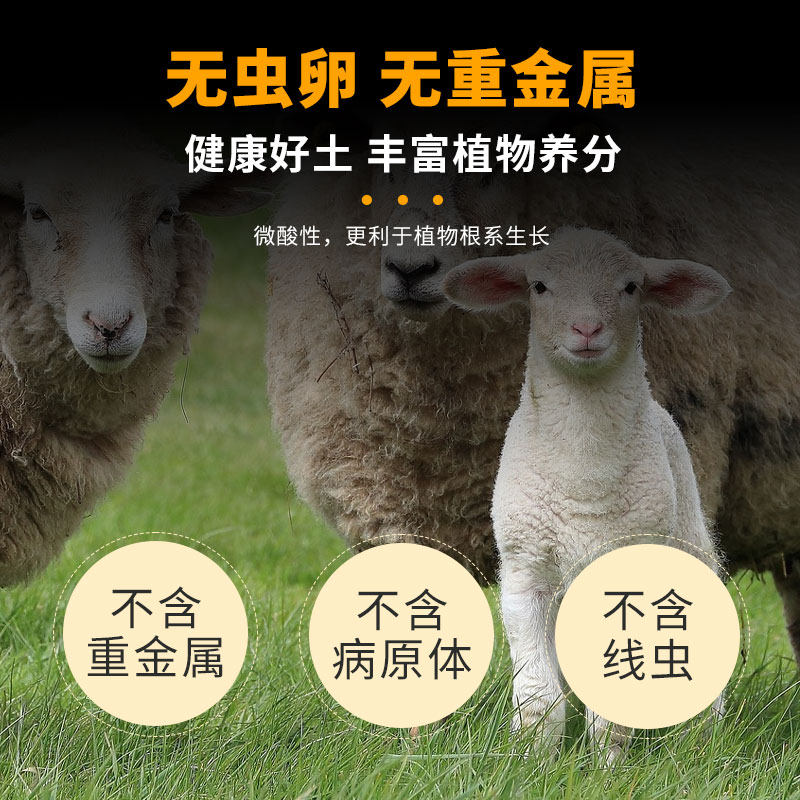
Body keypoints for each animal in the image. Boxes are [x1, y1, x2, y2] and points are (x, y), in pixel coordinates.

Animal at [442, 226, 731, 758]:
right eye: (539, 286)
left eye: (631, 287)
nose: (587, 329)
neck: (585, 476)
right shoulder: (525, 570)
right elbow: (538, 695)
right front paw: (534, 757)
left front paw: (608, 762)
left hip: (691, 543)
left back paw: (704, 735)